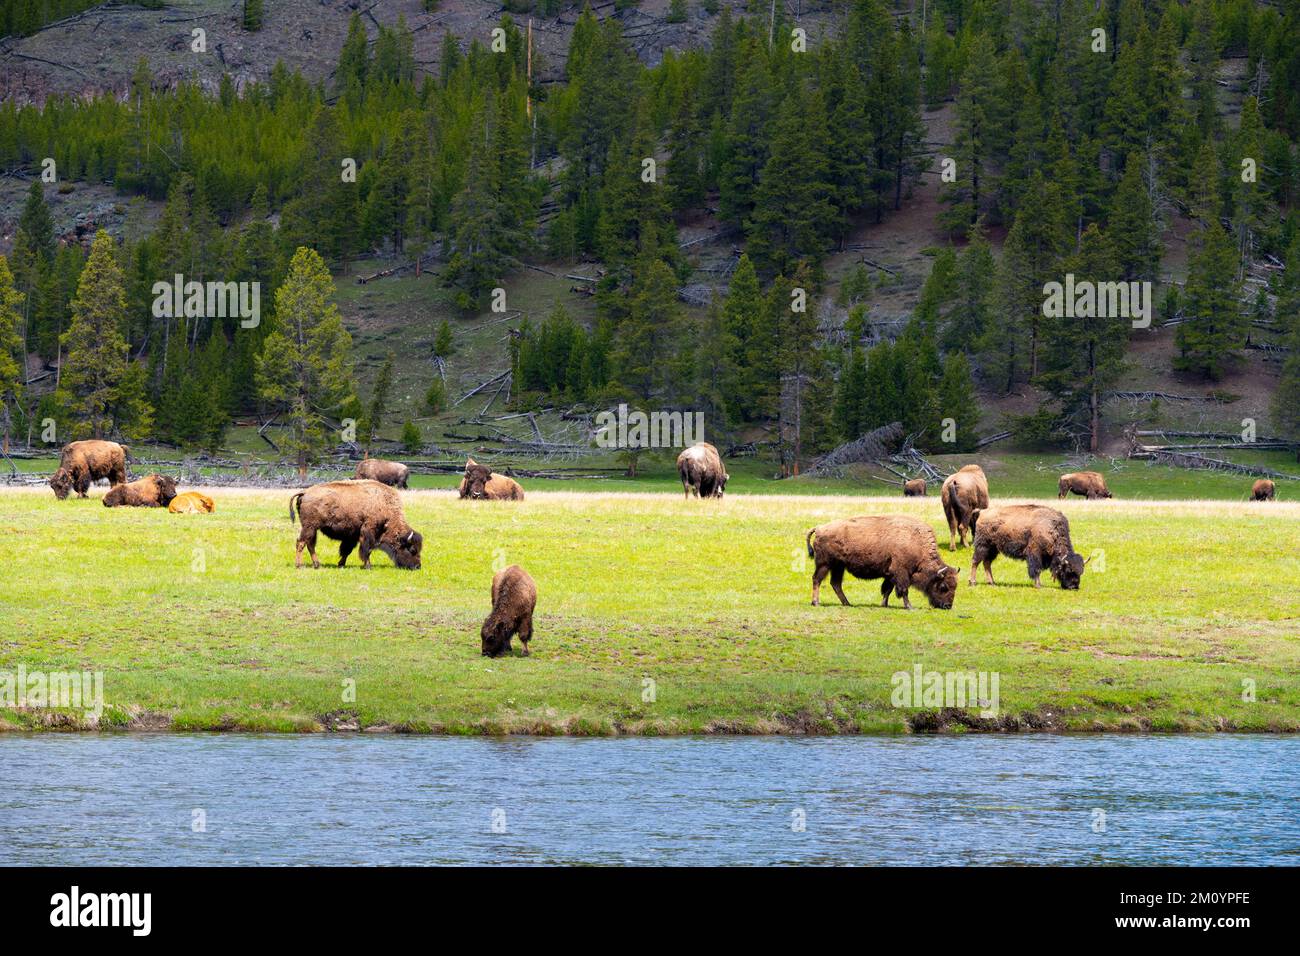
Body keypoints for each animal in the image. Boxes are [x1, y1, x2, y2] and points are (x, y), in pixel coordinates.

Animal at [289, 479, 423, 570]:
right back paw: (299, 565)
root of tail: (305, 492)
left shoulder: (352, 535)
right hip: (309, 527)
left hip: (312, 529)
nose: (417, 567)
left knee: (310, 544)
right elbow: (367, 549)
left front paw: (341, 564)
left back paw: (317, 564)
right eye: (412, 550)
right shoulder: (368, 531)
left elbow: (347, 550)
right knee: (301, 543)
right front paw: (368, 566)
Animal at [806, 515, 958, 610]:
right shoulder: (901, 573)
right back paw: (816, 602)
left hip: (838, 566)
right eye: (943, 586)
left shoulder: (890, 574)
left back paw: (847, 603)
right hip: (824, 564)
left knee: (835, 583)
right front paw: (909, 607)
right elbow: (903, 590)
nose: (947, 606)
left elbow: (887, 590)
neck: (916, 541)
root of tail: (819, 528)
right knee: (817, 580)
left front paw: (884, 604)